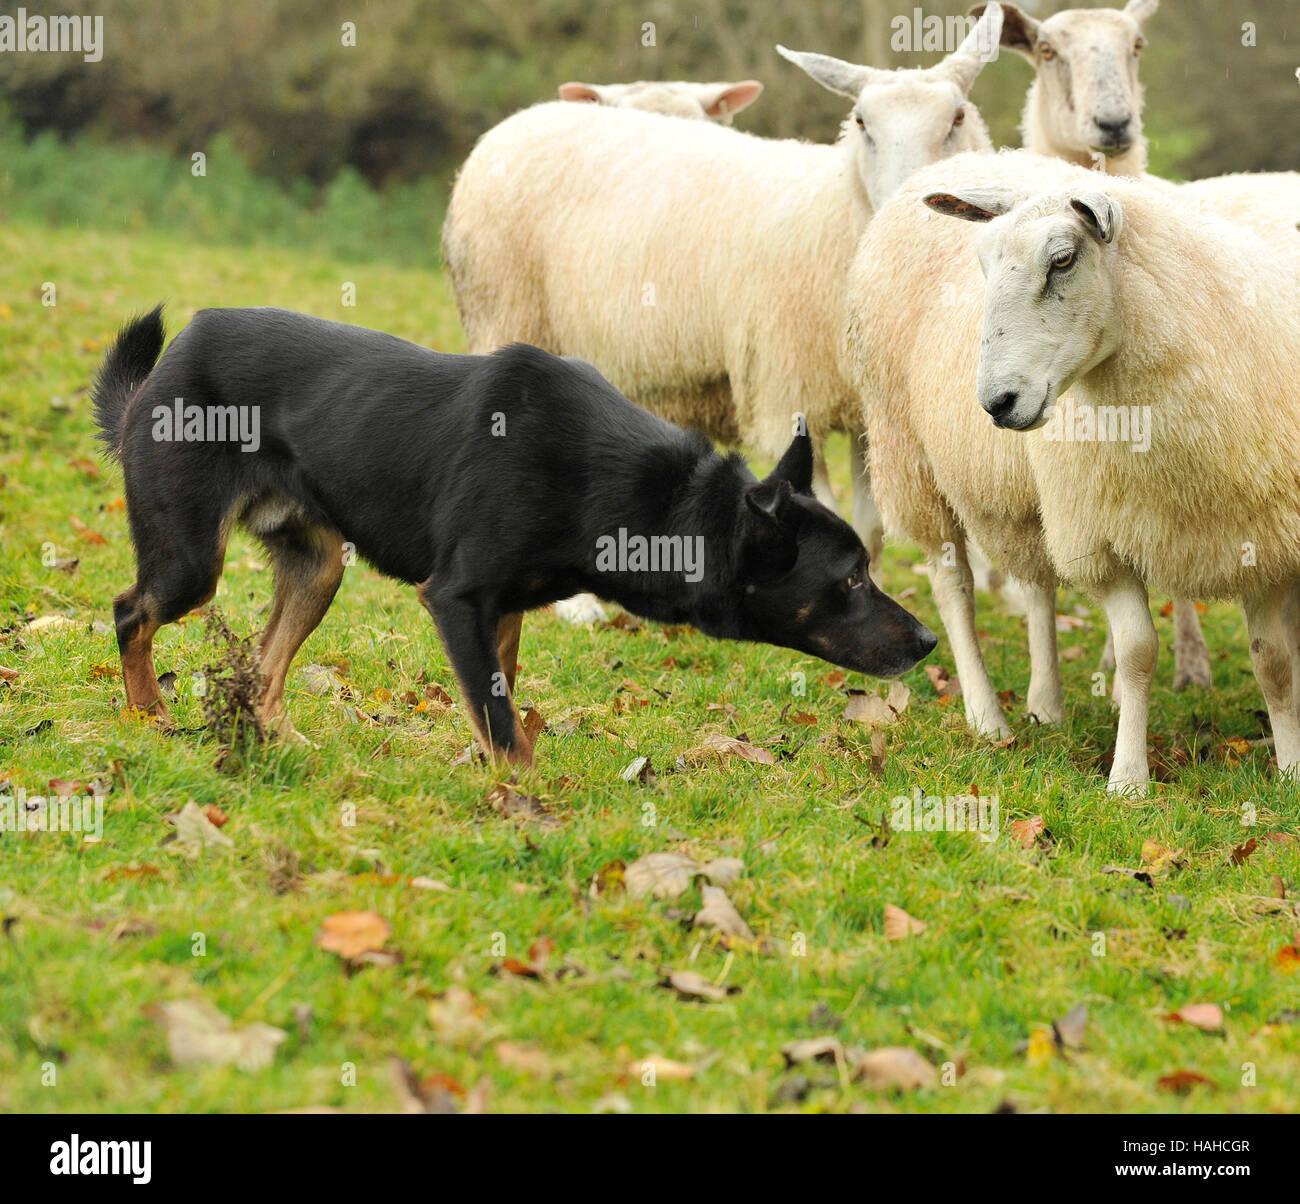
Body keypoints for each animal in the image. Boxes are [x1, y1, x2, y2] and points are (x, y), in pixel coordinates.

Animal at [441, 4, 1006, 623]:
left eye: (956, 117)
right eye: (861, 123)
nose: (907, 198)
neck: (838, 212)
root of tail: (513, 123)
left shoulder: (865, 403)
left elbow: (871, 526)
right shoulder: (791, 383)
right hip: (508, 315)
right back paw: (579, 605)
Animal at [921, 159, 1300, 793]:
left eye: (1063, 260)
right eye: (982, 261)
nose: (997, 403)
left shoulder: (1266, 538)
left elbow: (1273, 661)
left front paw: (1291, 768)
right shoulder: (1105, 537)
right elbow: (1137, 652)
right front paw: (1127, 778)